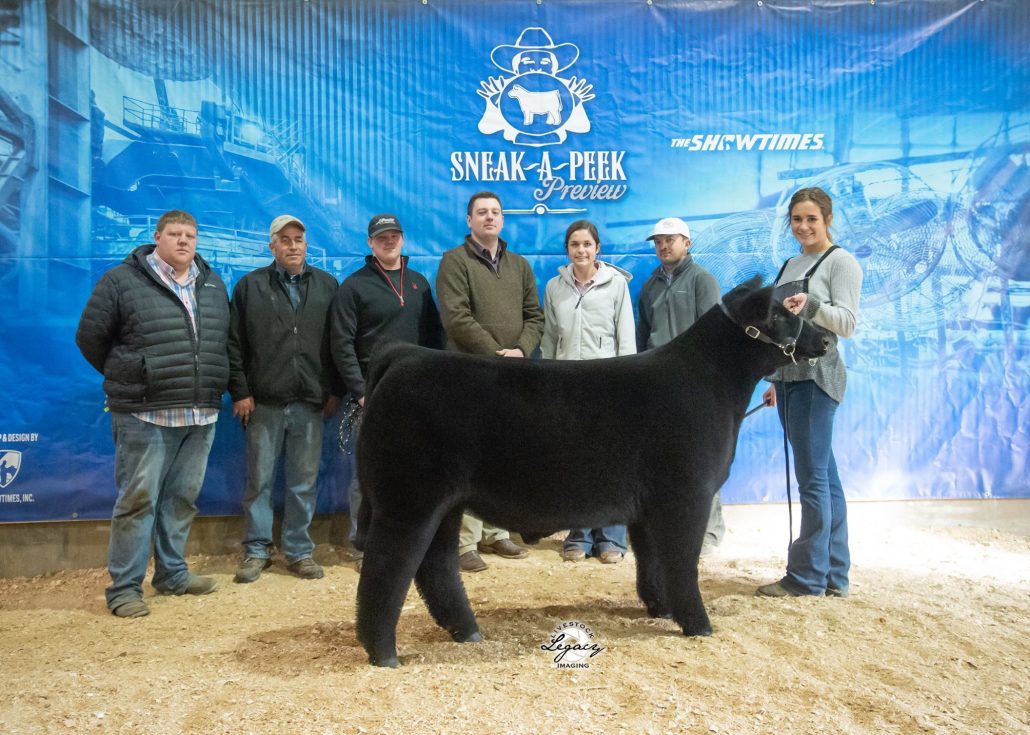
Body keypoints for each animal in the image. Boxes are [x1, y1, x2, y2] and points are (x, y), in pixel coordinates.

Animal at [353, 277, 830, 667]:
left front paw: (661, 609)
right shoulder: (687, 495)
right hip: (408, 500)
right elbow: (681, 562)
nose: (826, 339)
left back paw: (466, 631)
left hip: (443, 503)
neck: (710, 382)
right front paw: (698, 623)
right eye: (780, 313)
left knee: (435, 566)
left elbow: (652, 562)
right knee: (386, 569)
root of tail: (404, 355)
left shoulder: (649, 508)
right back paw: (384, 653)